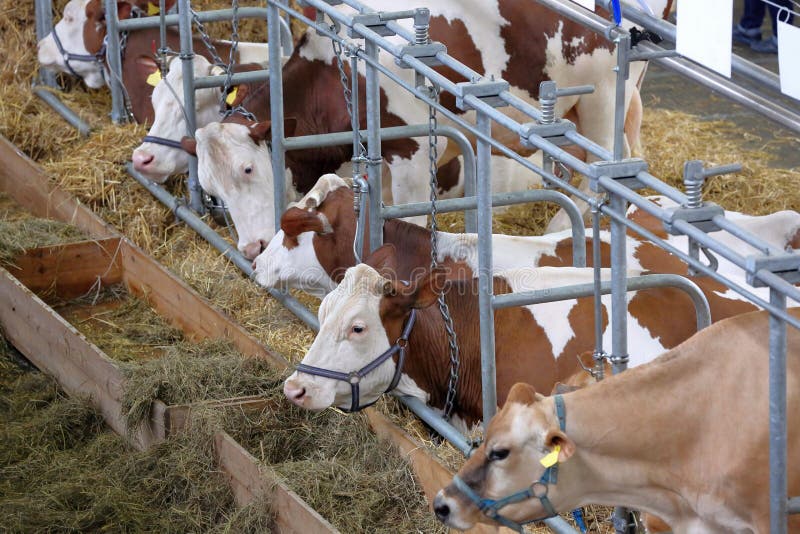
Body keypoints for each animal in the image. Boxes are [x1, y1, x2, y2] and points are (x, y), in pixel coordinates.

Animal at [181, 0, 670, 253]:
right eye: (210, 188)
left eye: (248, 169)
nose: (251, 248)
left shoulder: (412, 150)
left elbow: (409, 215)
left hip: (602, 101)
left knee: (600, 177)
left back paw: (558, 229)